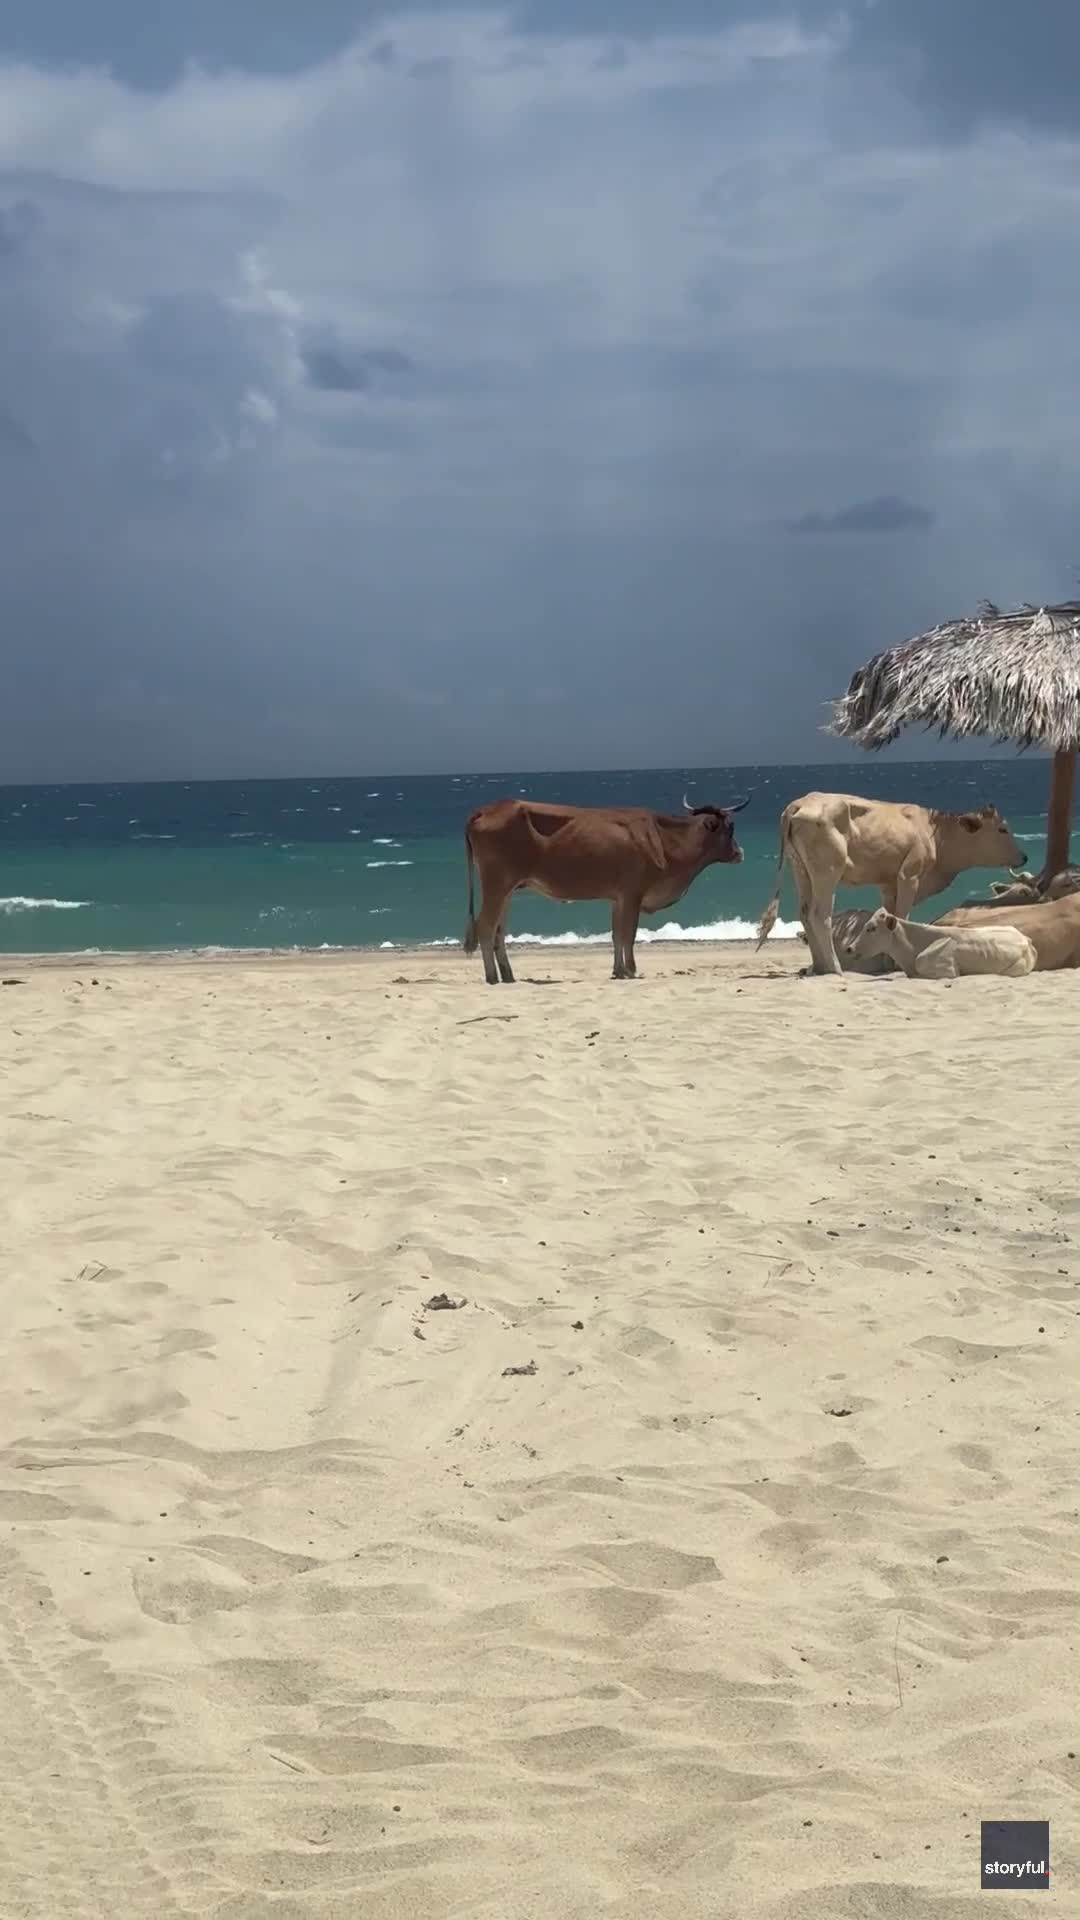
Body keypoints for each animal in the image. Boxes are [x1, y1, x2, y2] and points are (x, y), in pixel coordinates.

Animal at [463, 793, 750, 984]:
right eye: (730, 827)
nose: (740, 853)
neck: (663, 839)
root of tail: (486, 809)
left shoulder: (617, 898)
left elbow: (616, 935)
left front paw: (618, 971)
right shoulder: (633, 893)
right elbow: (628, 934)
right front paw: (631, 970)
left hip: (508, 889)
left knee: (499, 930)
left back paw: (508, 975)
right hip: (496, 882)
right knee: (486, 926)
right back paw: (492, 976)